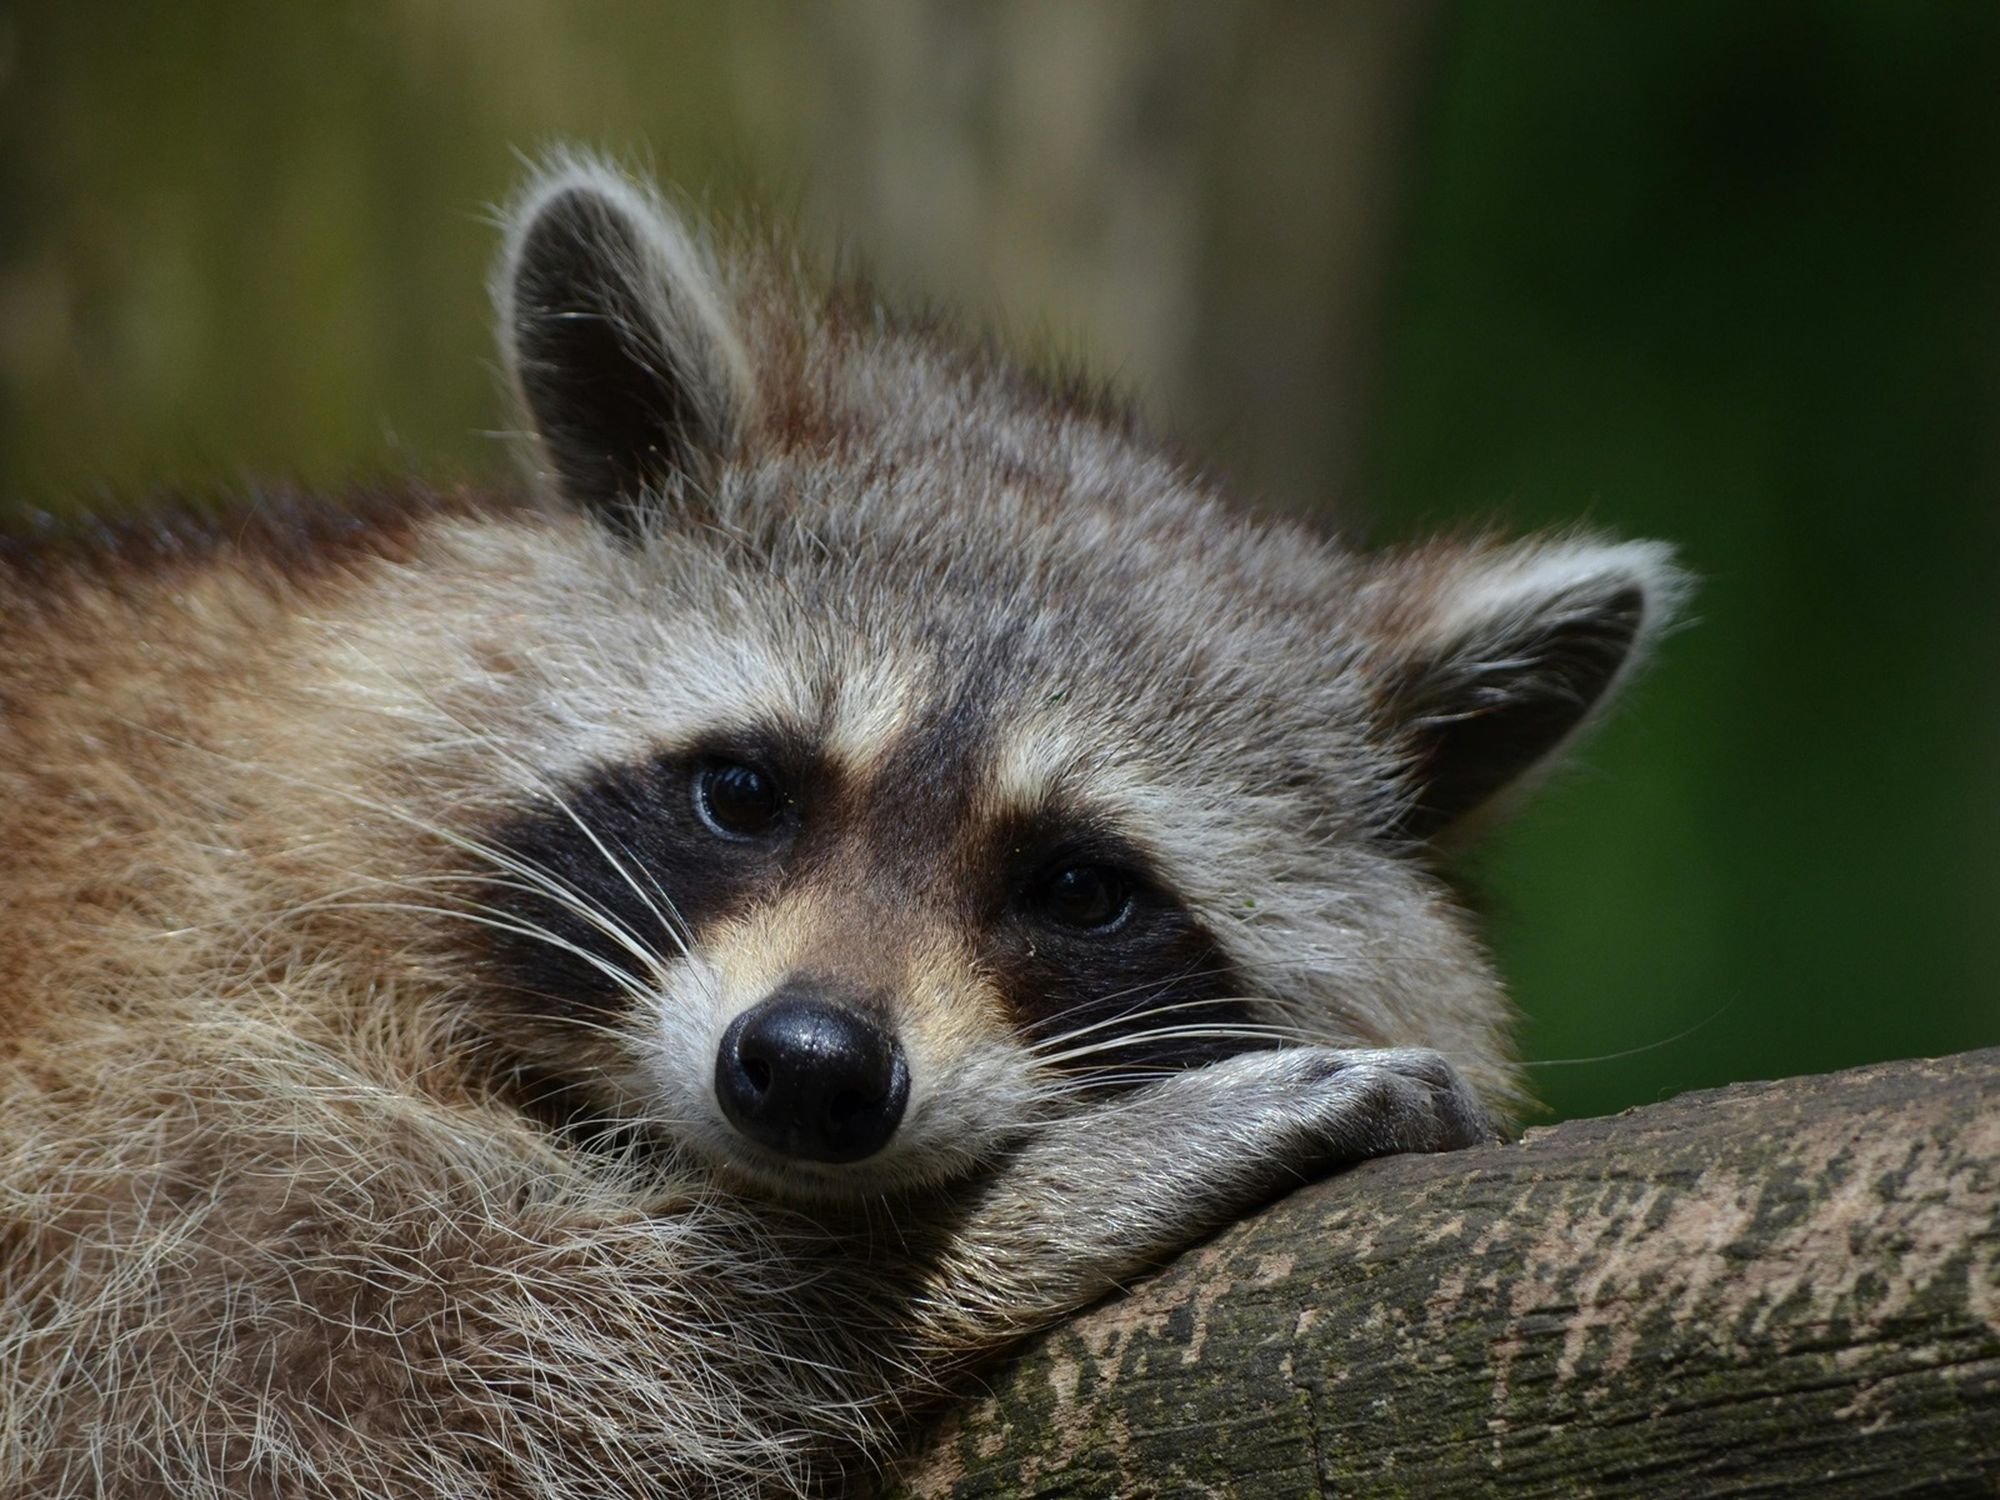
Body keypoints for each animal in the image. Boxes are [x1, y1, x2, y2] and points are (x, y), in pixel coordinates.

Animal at [0, 156, 1682, 1499]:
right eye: (746, 791)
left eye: (1082, 887)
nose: (810, 1070)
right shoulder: (157, 1041)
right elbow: (321, 1370)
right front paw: (959, 1236)